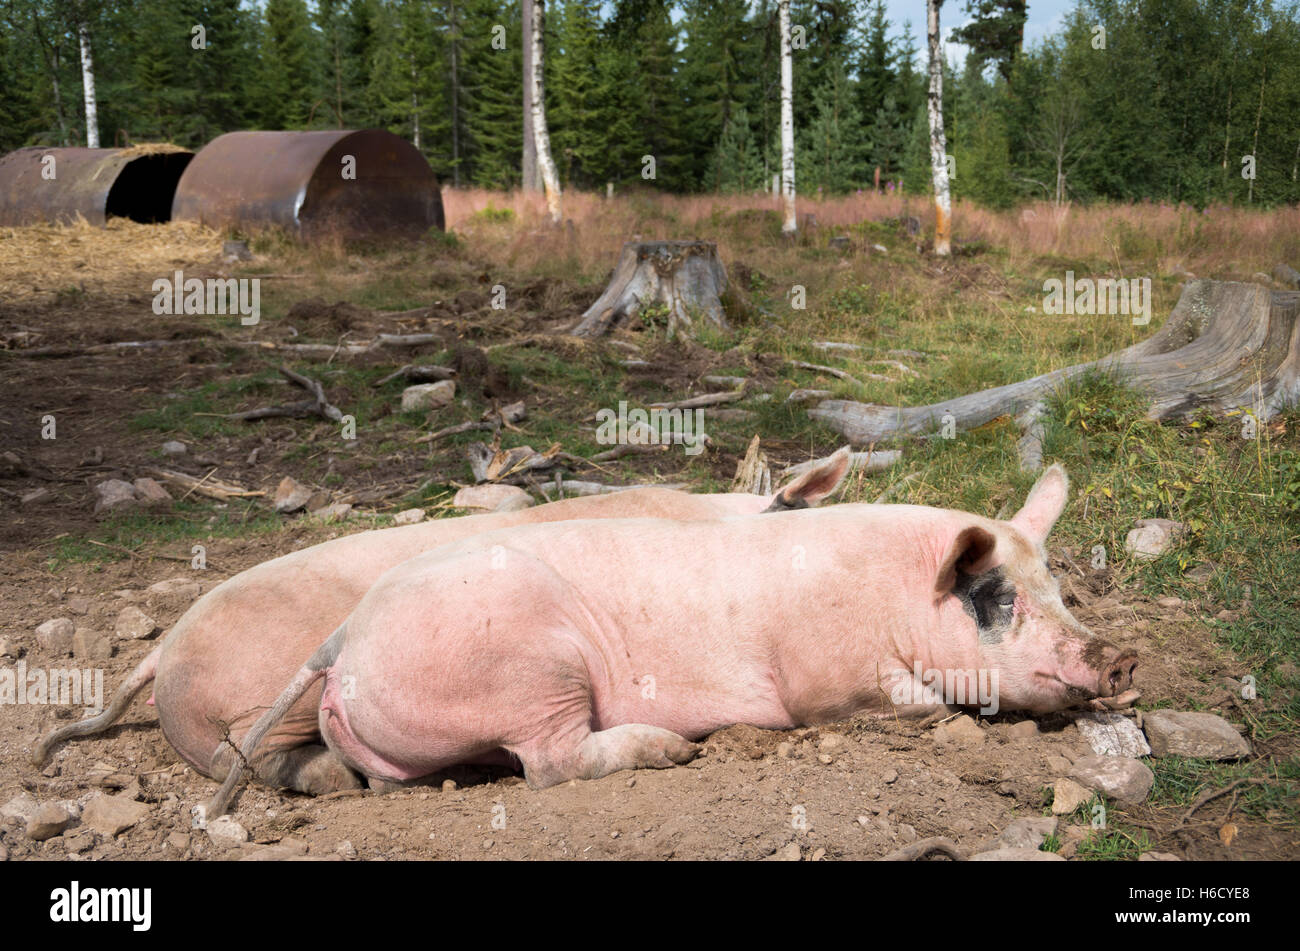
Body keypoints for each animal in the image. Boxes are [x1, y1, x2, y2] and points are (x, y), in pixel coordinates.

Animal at [203, 464, 1136, 818]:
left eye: (1060, 588)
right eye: (998, 597)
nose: (1121, 657)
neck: (899, 595)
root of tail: (344, 637)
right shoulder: (821, 674)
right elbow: (898, 701)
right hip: (537, 669)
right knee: (550, 762)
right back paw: (676, 751)